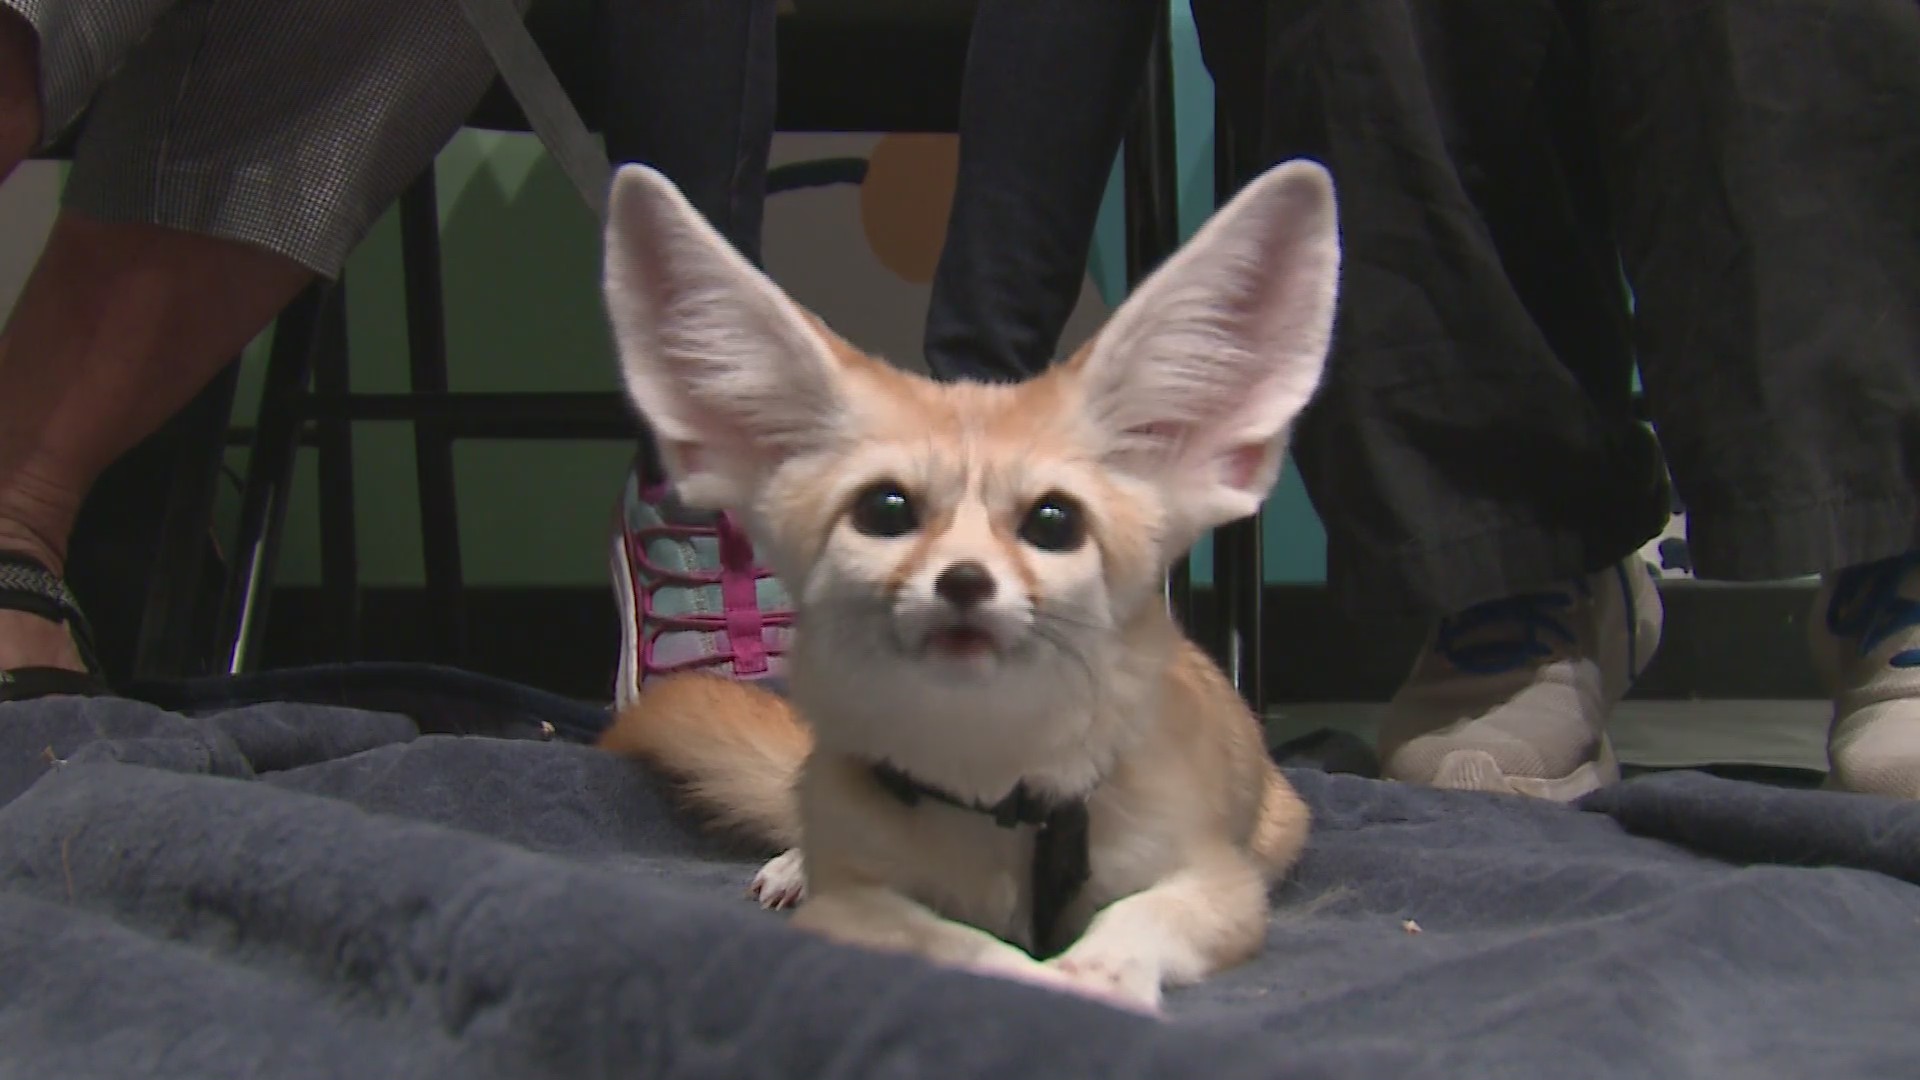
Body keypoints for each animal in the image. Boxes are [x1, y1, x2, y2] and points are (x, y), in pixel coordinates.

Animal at [594, 156, 1342, 1014]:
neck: (995, 782)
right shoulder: (850, 906)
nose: (963, 580)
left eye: (1054, 522)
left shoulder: (1222, 885)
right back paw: (793, 860)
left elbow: (1135, 915)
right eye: (885, 510)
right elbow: (958, 943)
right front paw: (1027, 979)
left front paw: (1094, 975)